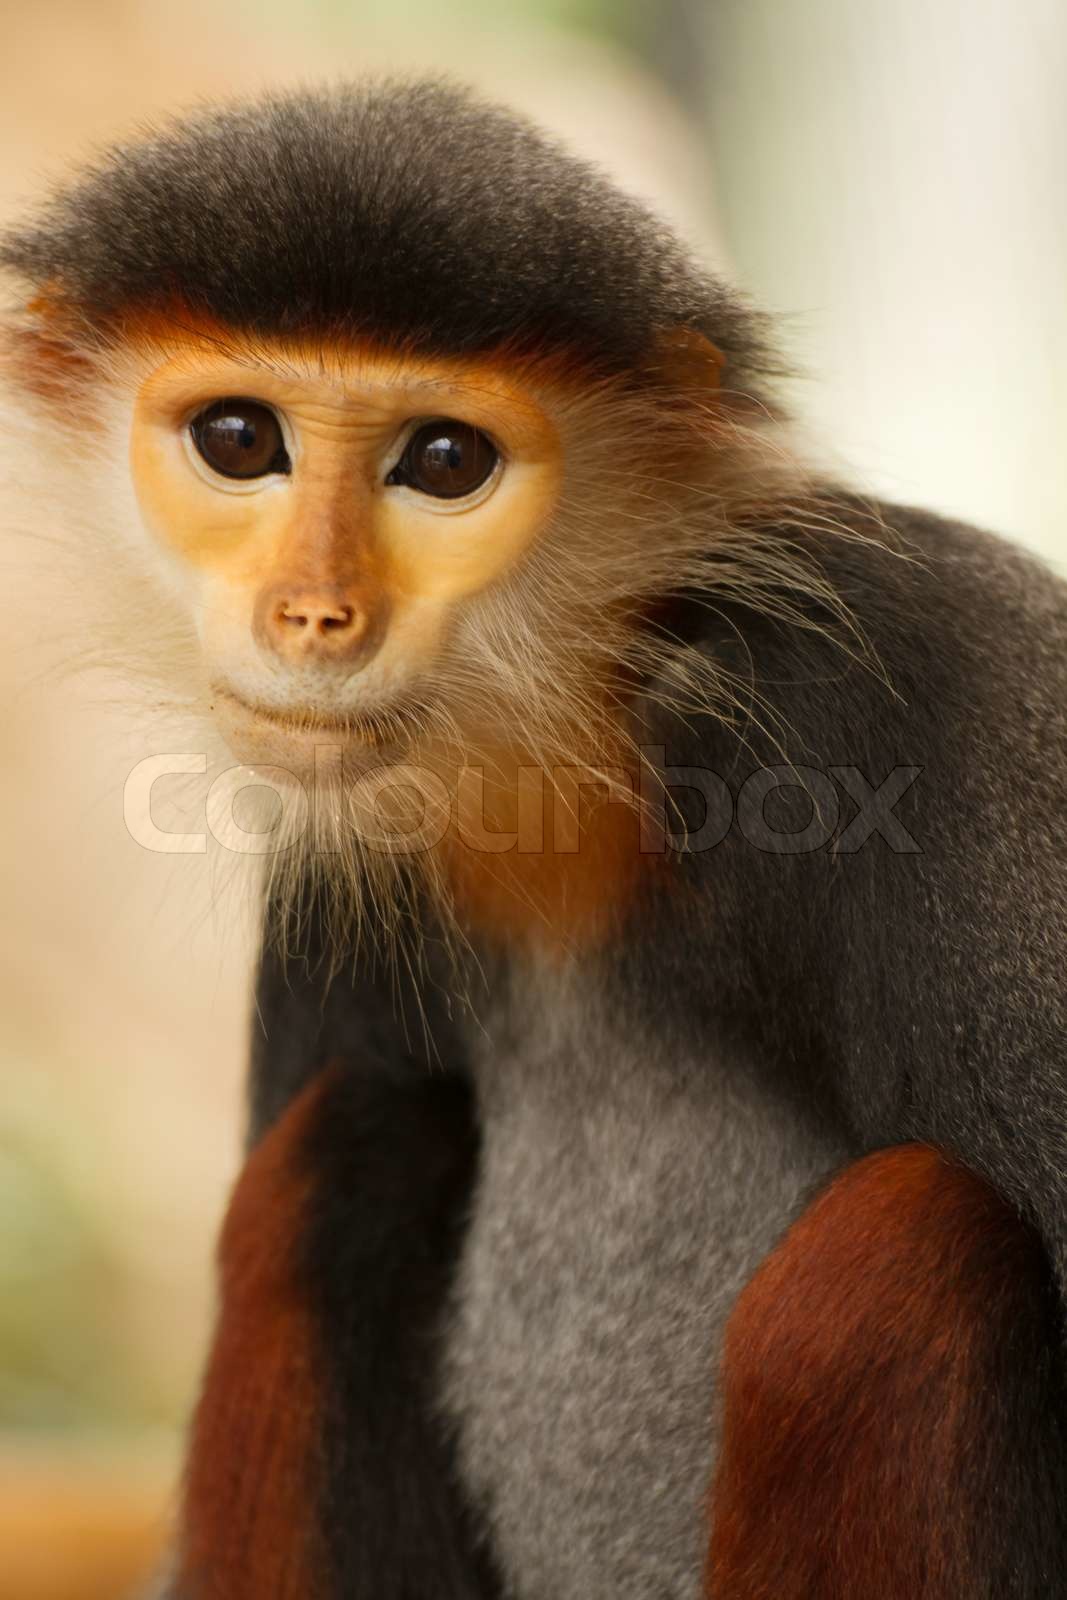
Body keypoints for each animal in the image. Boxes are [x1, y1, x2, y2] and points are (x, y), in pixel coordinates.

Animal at [0, 77, 1065, 1600]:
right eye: (239, 441)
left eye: (444, 462)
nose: (312, 616)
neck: (588, 762)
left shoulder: (928, 688)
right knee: (343, 1143)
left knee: (894, 1248)